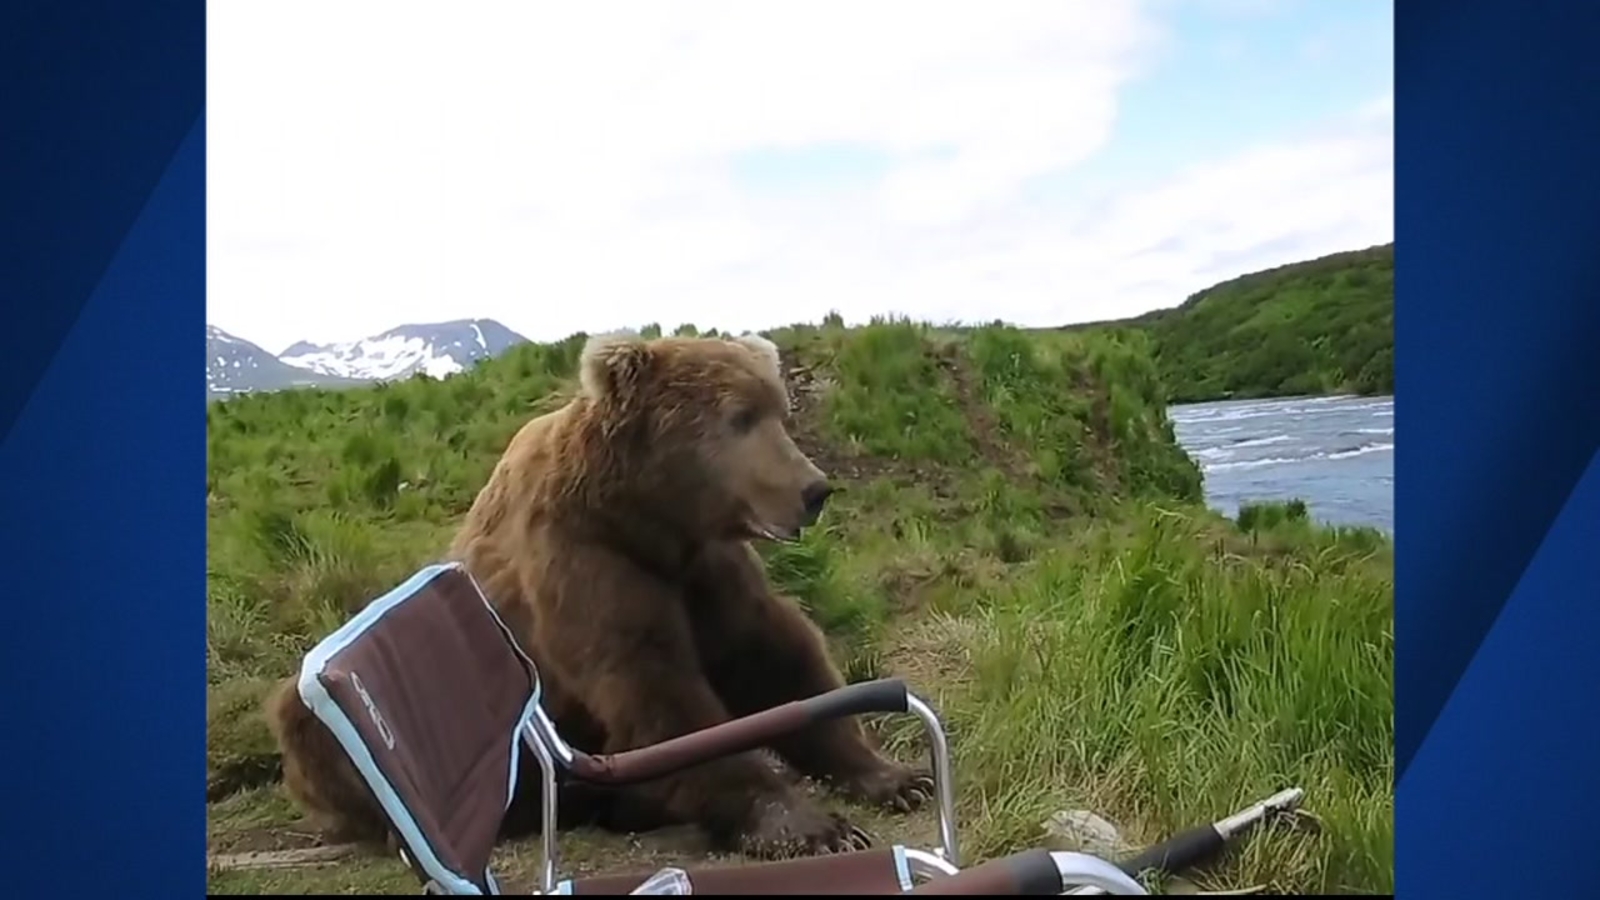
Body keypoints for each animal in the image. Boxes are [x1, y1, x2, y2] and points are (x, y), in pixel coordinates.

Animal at [267, 331, 934, 861]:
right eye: (740, 416)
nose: (814, 489)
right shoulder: (586, 560)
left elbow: (775, 656)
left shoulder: (705, 569)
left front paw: (895, 777)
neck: (649, 516)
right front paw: (807, 824)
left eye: (780, 411)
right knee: (307, 723)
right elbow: (655, 687)